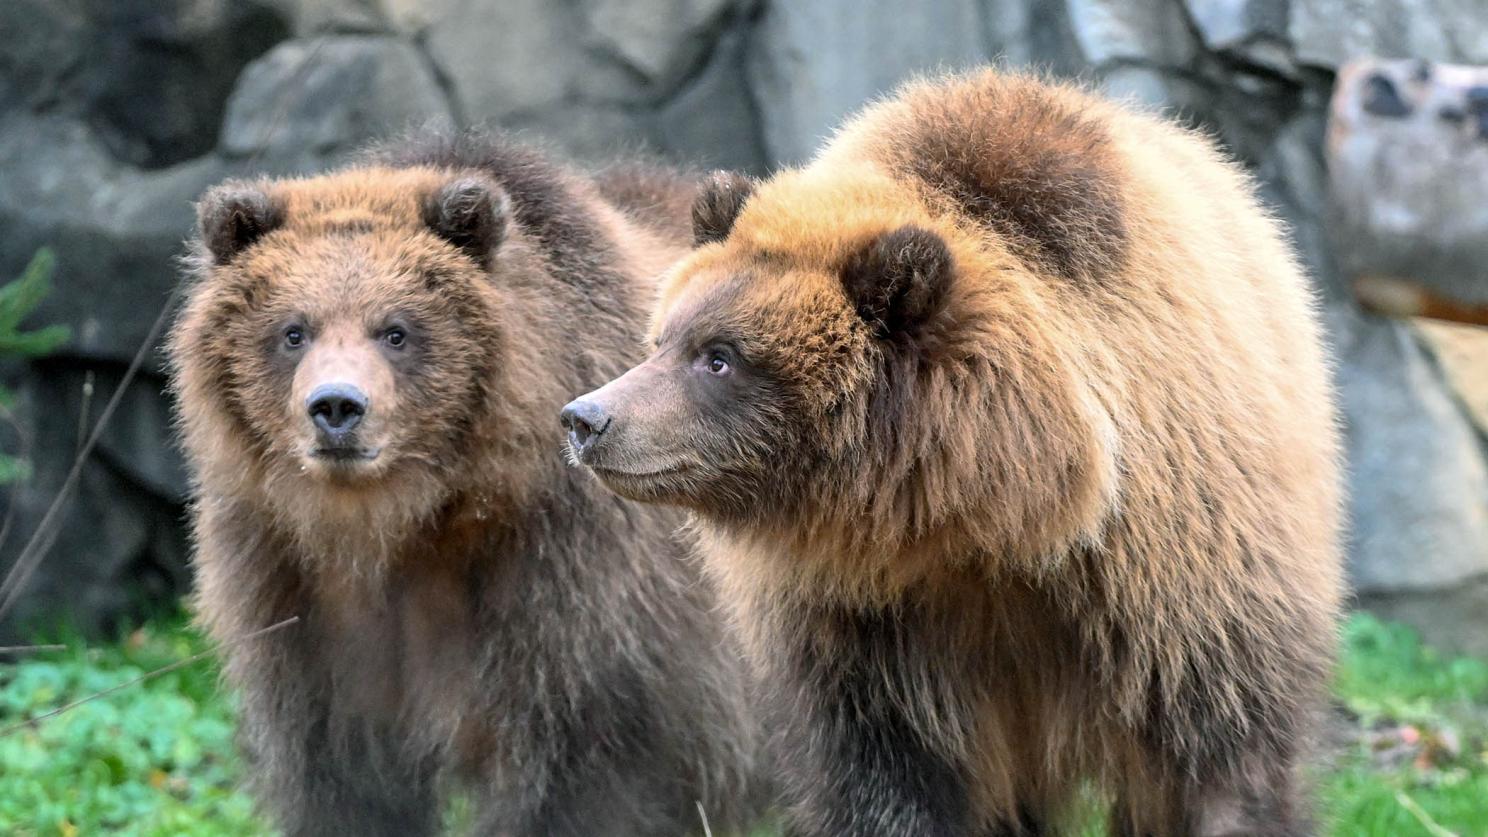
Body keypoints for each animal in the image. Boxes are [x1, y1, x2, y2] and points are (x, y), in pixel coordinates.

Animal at [168, 130, 763, 837]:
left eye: (396, 330)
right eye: (293, 330)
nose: (336, 406)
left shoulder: (575, 598)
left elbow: (575, 783)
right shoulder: (297, 606)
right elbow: (344, 782)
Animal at [562, 70, 1344, 836]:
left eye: (720, 356)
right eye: (663, 337)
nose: (585, 418)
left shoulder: (1178, 586)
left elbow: (1220, 765)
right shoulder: (864, 633)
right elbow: (889, 782)